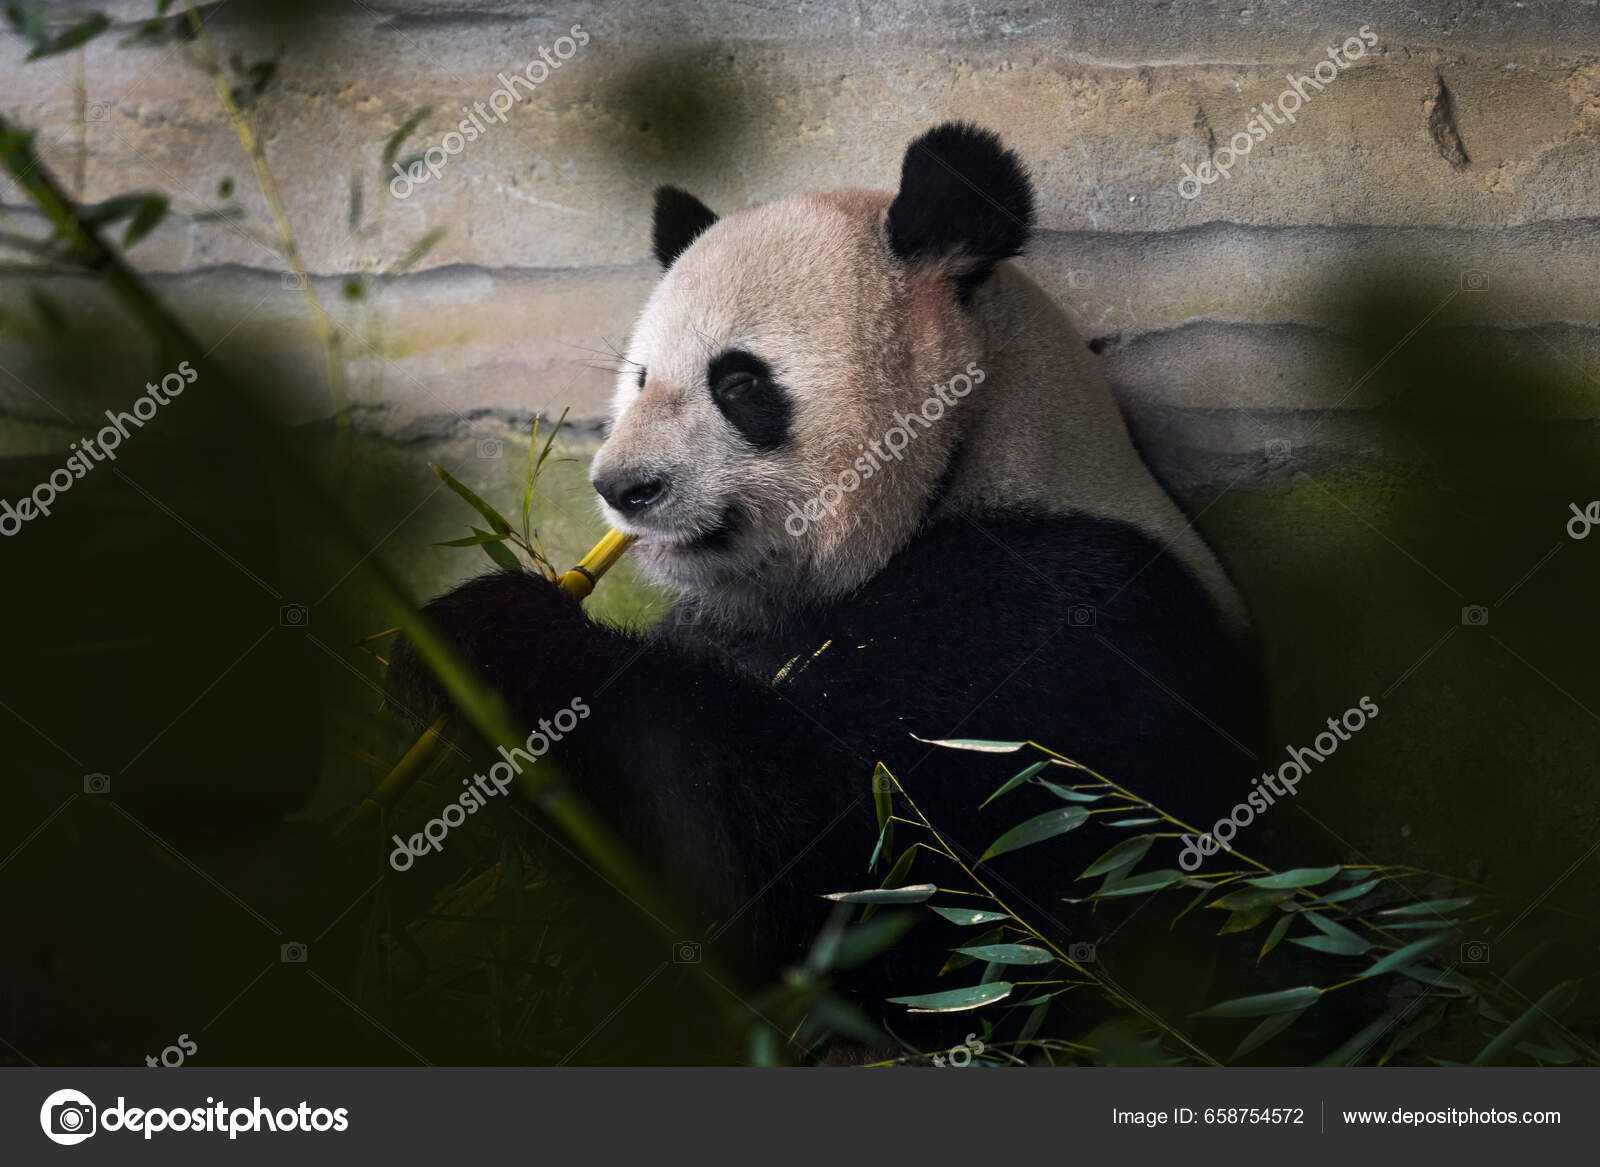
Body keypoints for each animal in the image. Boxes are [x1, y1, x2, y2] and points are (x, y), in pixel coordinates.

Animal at [389, 123, 1259, 1028]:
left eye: (738, 382)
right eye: (639, 377)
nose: (624, 487)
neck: (968, 461)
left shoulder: (1053, 617)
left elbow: (864, 869)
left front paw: (493, 640)